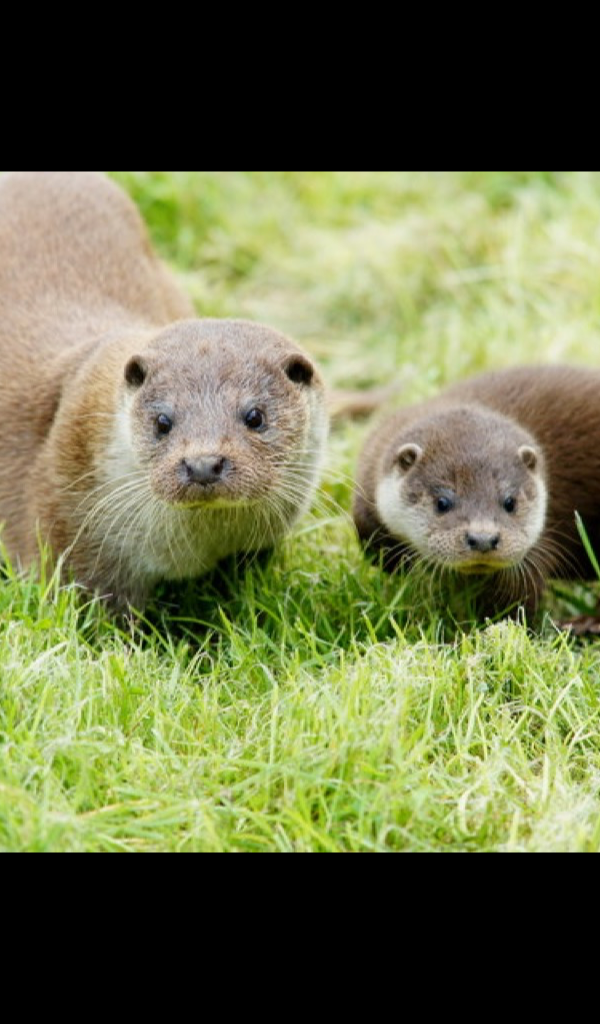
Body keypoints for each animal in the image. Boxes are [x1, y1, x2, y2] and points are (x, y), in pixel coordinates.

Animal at [354, 366, 600, 617]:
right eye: (442, 502)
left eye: (510, 502)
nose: (483, 539)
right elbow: (367, 531)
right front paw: (397, 561)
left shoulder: (540, 547)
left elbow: (517, 602)